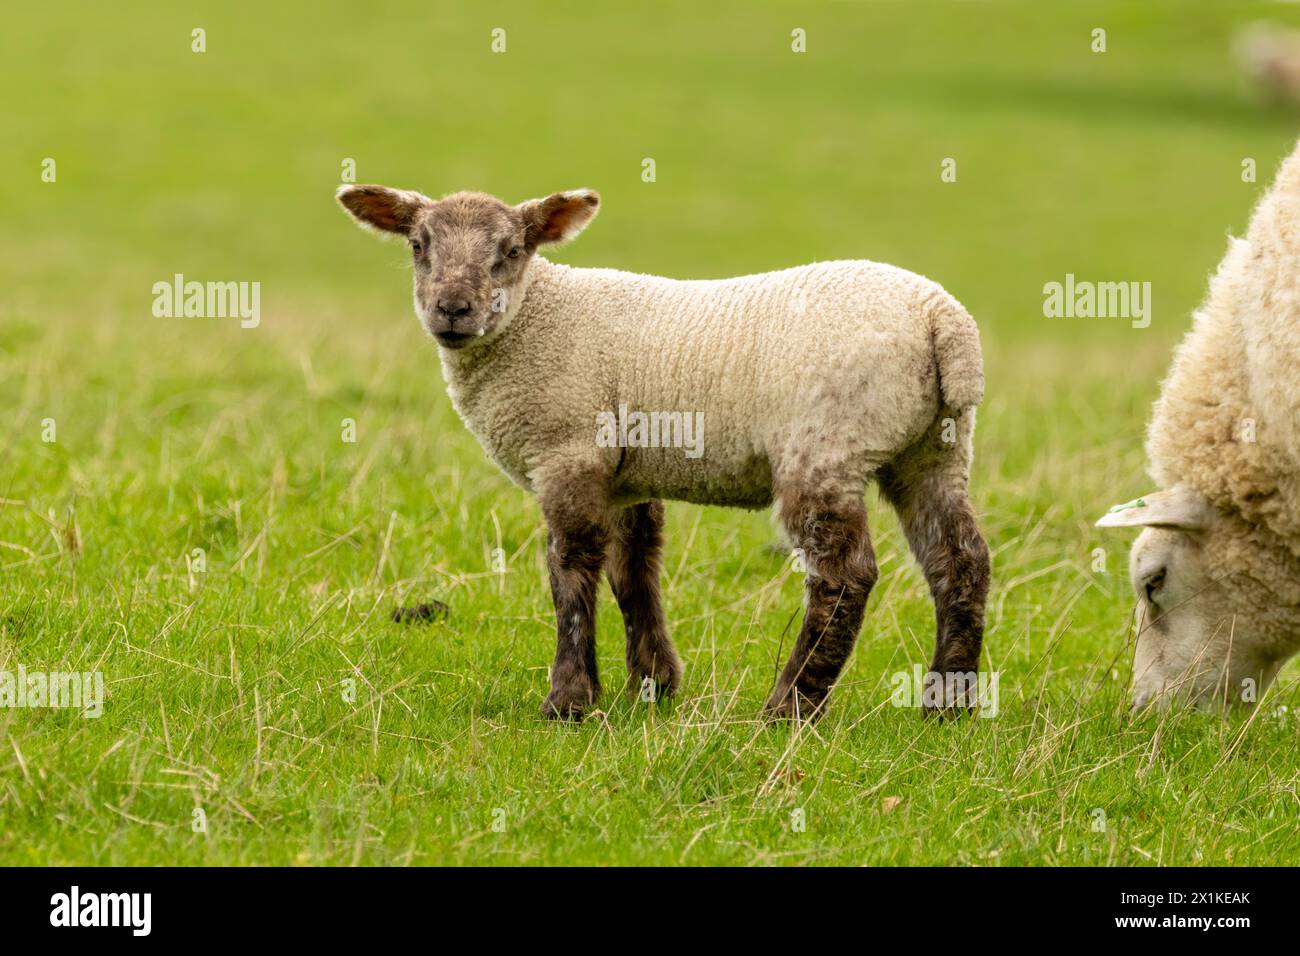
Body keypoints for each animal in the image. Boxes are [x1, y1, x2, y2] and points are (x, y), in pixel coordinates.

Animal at [337, 183, 989, 721]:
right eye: (418, 244)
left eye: (512, 249)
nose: (452, 309)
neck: (535, 320)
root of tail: (943, 321)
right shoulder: (625, 473)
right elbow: (633, 572)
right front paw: (652, 683)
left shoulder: (568, 452)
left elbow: (570, 570)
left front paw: (569, 700)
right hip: (934, 449)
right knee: (960, 560)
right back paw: (946, 703)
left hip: (827, 446)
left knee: (846, 575)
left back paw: (791, 705)